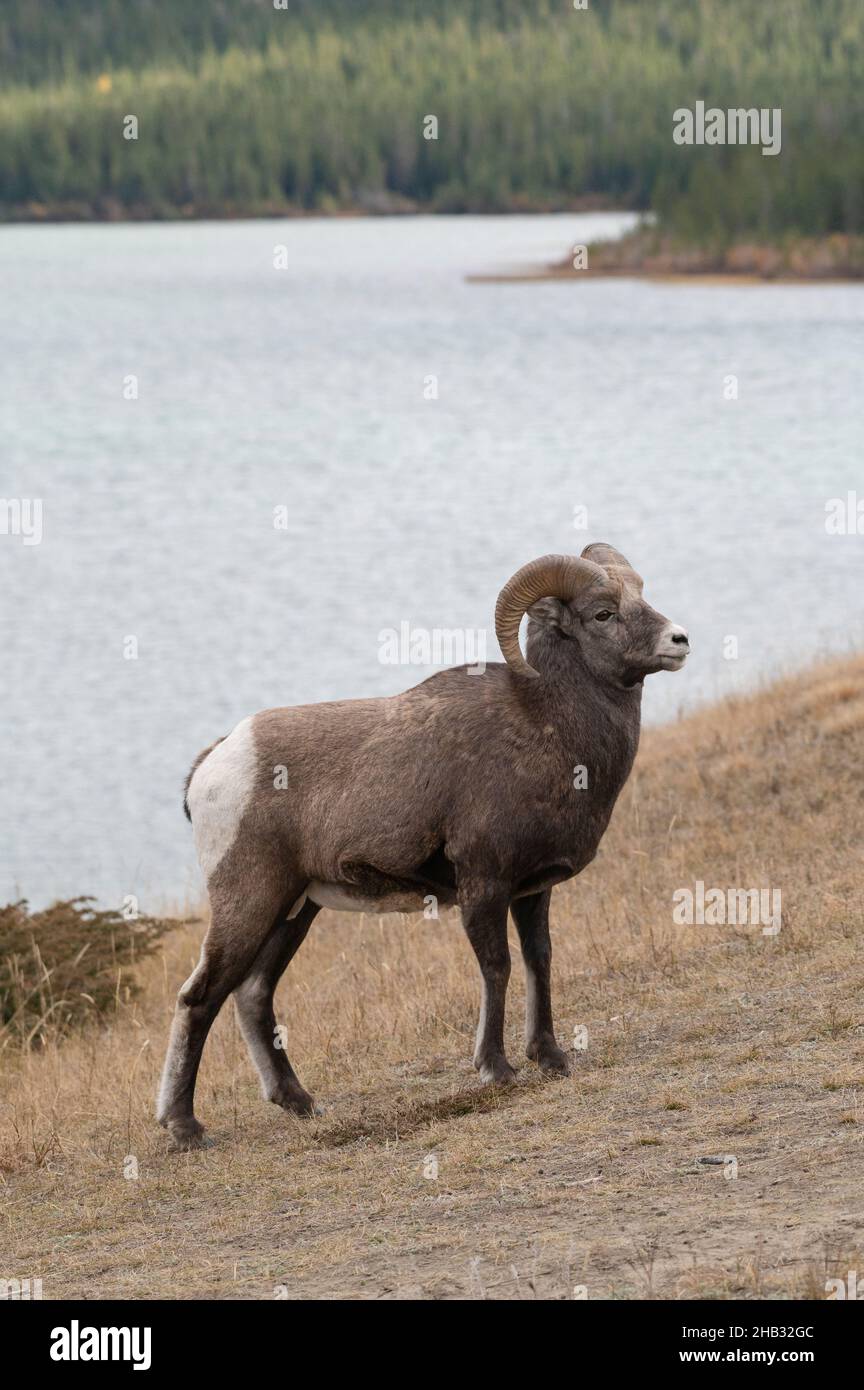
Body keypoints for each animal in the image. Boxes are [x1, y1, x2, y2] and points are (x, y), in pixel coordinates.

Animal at [157, 543, 689, 1147]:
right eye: (603, 613)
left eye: (641, 594)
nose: (678, 640)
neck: (548, 729)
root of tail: (215, 764)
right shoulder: (484, 886)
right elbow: (498, 967)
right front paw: (497, 1069)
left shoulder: (533, 891)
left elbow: (539, 960)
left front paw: (551, 1059)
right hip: (249, 903)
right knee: (200, 998)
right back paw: (186, 1128)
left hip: (295, 910)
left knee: (252, 995)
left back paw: (301, 1103)